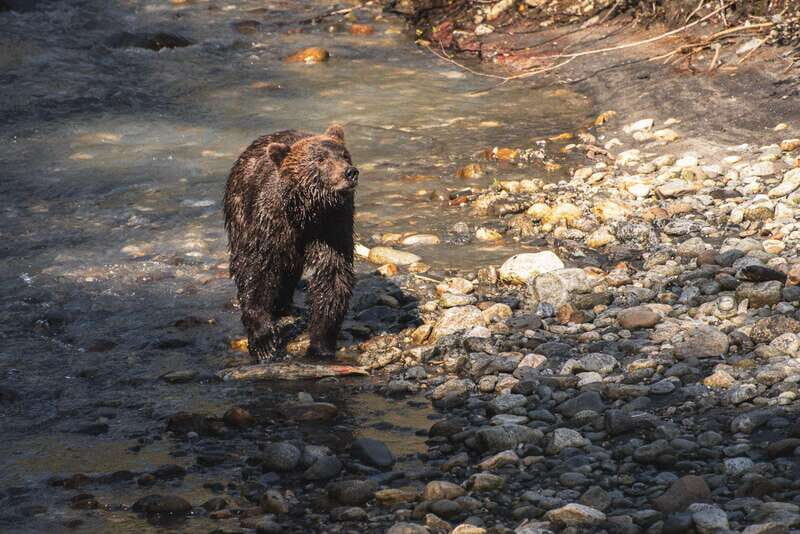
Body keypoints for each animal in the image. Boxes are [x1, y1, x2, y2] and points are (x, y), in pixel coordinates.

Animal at [223, 125, 359, 362]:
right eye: (320, 159)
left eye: (344, 155)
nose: (349, 172)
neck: (306, 210)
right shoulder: (270, 221)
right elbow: (256, 270)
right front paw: (264, 341)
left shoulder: (333, 224)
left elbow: (333, 274)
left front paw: (321, 344)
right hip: (239, 208)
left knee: (290, 268)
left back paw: (286, 305)